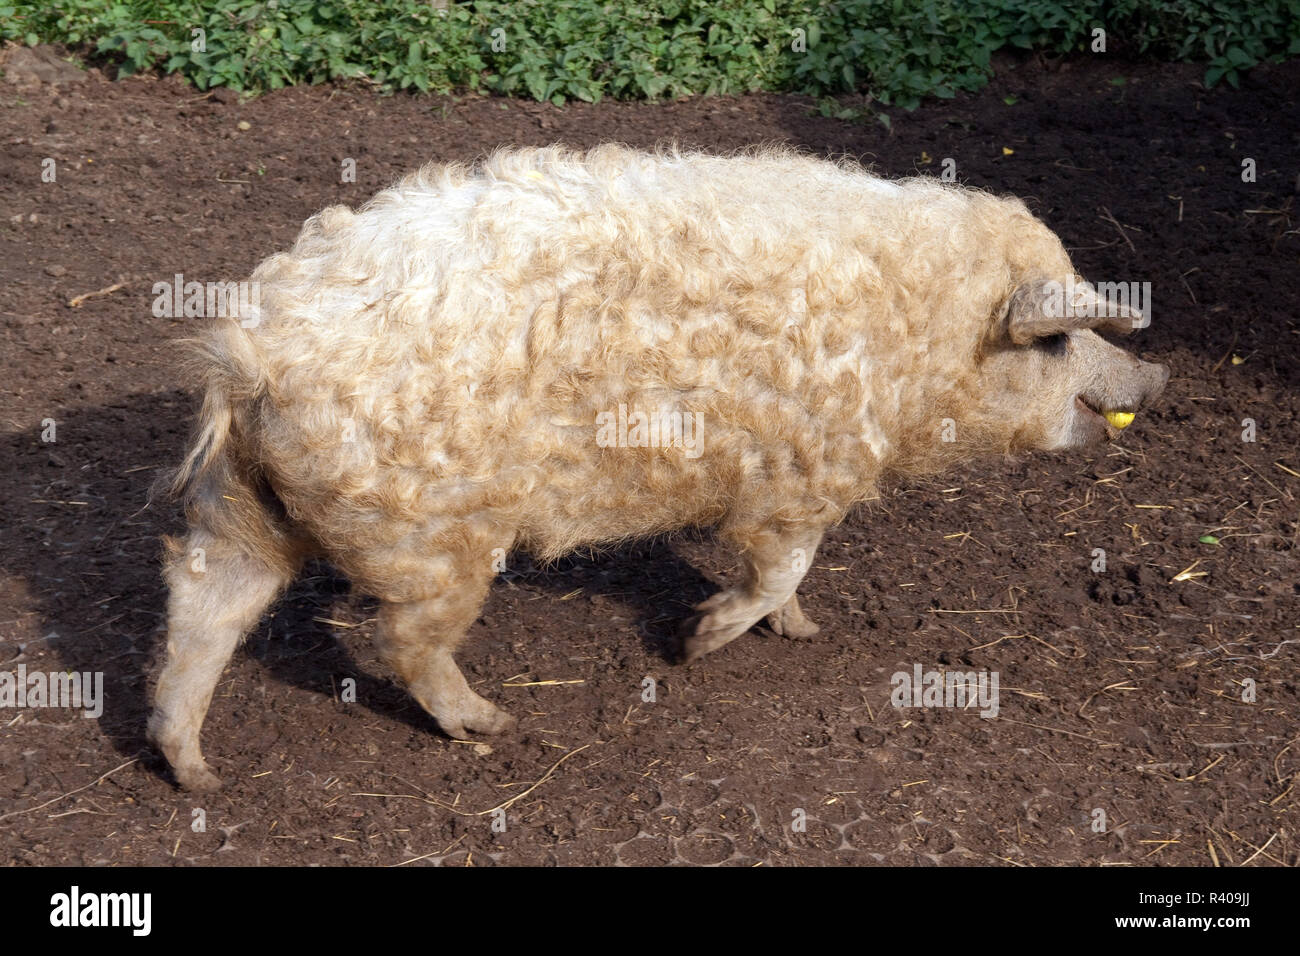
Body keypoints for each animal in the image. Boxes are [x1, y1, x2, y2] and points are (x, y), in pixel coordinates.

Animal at [148, 145, 1168, 789]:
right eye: (1058, 338)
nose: (1154, 376)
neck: (923, 345)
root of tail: (249, 357)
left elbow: (791, 576)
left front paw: (802, 634)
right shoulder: (797, 473)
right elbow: (776, 562)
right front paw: (695, 643)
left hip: (244, 512)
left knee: (201, 605)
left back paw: (197, 776)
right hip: (436, 536)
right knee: (403, 641)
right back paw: (494, 727)